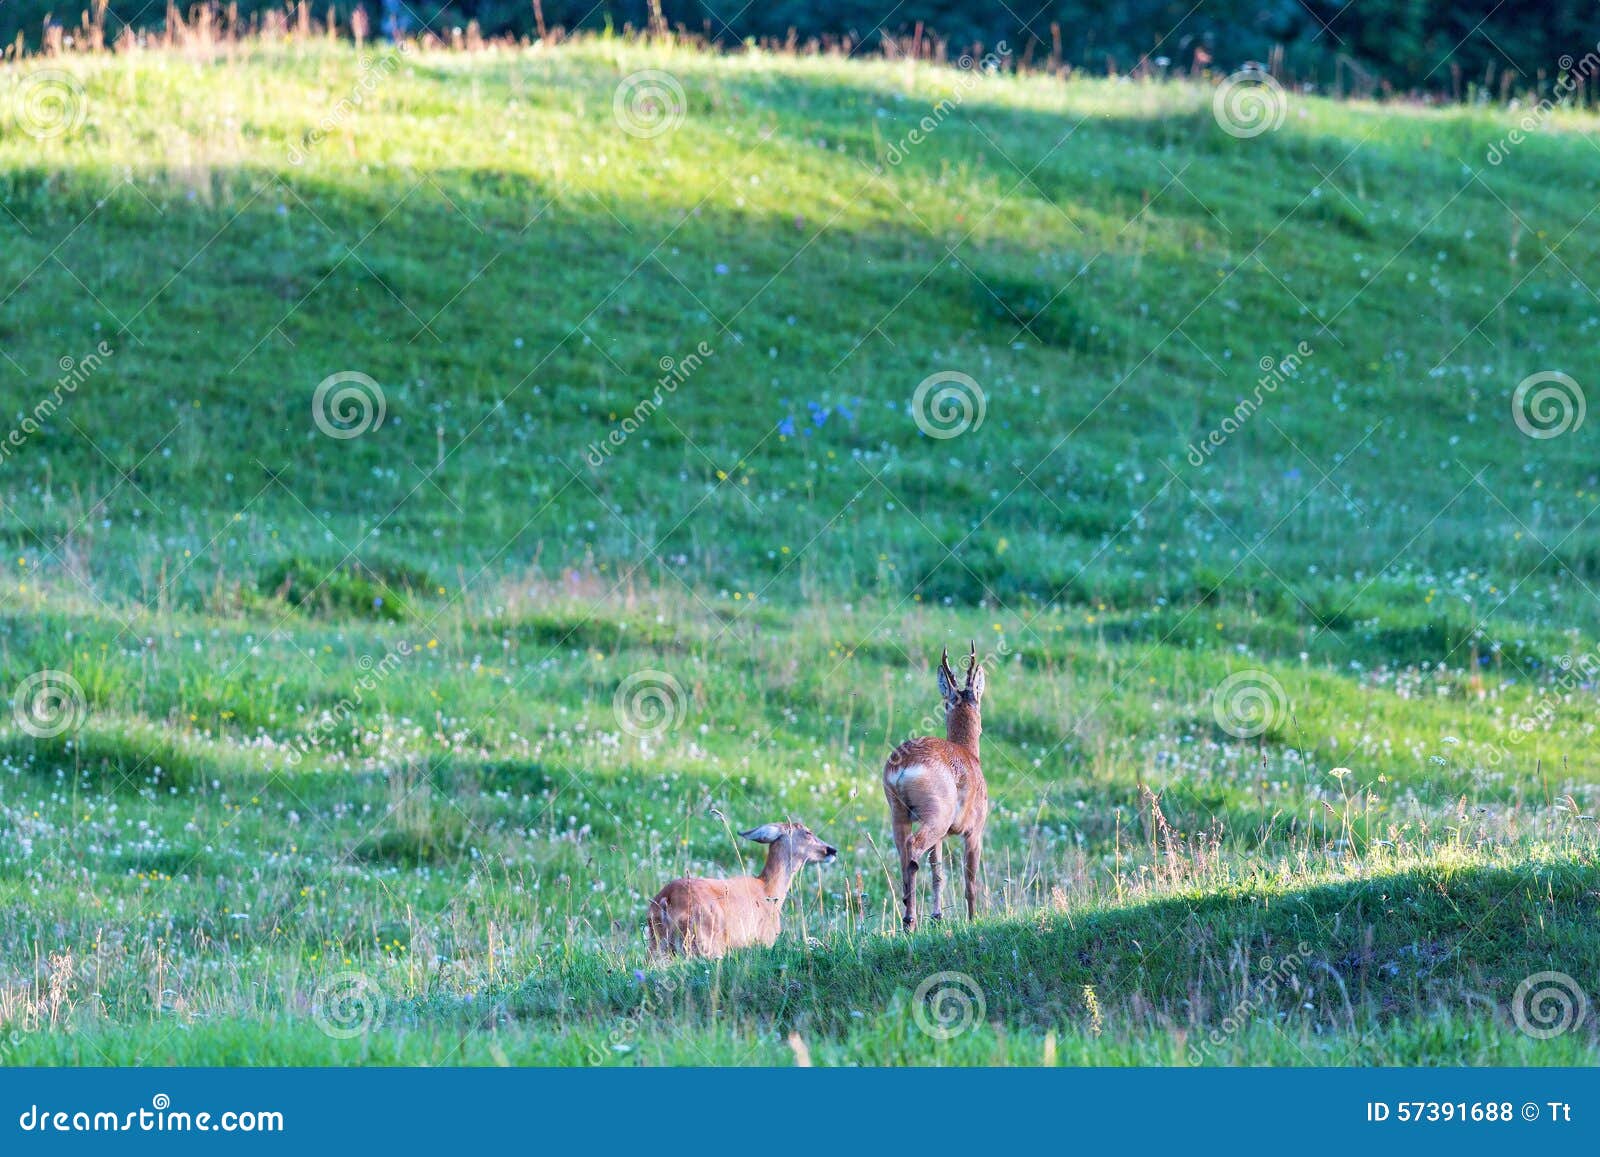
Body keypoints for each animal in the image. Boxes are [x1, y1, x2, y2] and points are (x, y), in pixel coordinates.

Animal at [646, 821, 838, 959]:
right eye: (808, 832)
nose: (832, 850)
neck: (768, 891)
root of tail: (666, 900)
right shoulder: (764, 939)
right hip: (704, 942)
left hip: (656, 945)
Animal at [883, 642, 988, 932]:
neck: (968, 755)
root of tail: (906, 763)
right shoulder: (973, 833)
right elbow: (970, 879)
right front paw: (973, 919)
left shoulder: (942, 838)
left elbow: (938, 872)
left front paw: (937, 916)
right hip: (935, 819)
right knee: (913, 851)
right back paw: (910, 920)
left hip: (900, 816)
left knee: (904, 854)